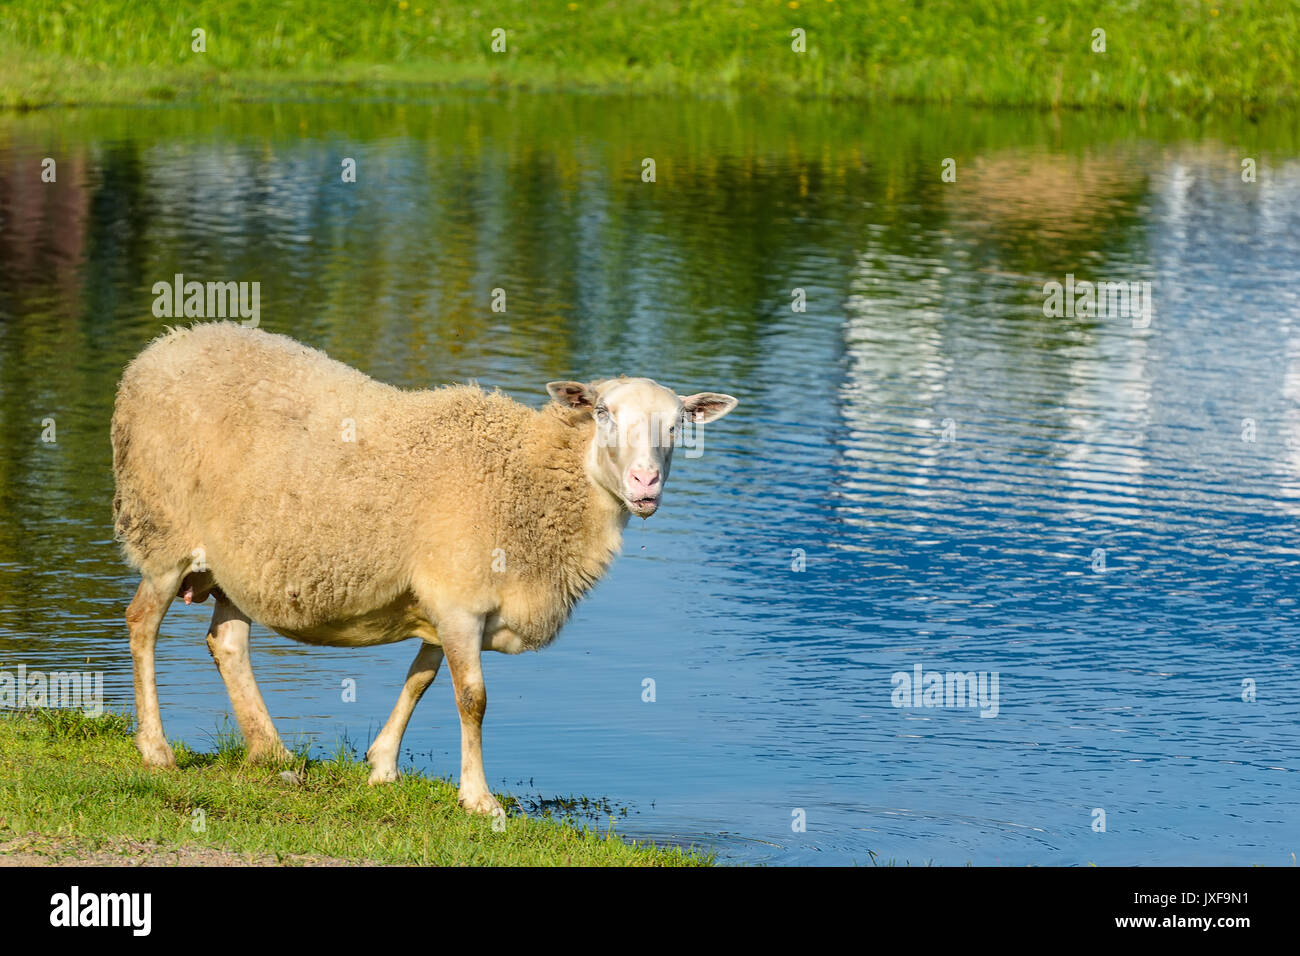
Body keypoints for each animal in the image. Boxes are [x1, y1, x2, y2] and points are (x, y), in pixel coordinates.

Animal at [111, 321, 737, 814]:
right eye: (603, 413)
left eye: (678, 425)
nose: (645, 484)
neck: (528, 482)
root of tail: (161, 347)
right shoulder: (459, 601)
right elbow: (472, 698)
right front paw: (478, 799)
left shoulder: (448, 599)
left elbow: (421, 678)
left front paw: (382, 765)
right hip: (163, 530)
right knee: (141, 622)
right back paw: (157, 751)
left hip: (241, 561)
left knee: (228, 641)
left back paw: (271, 751)